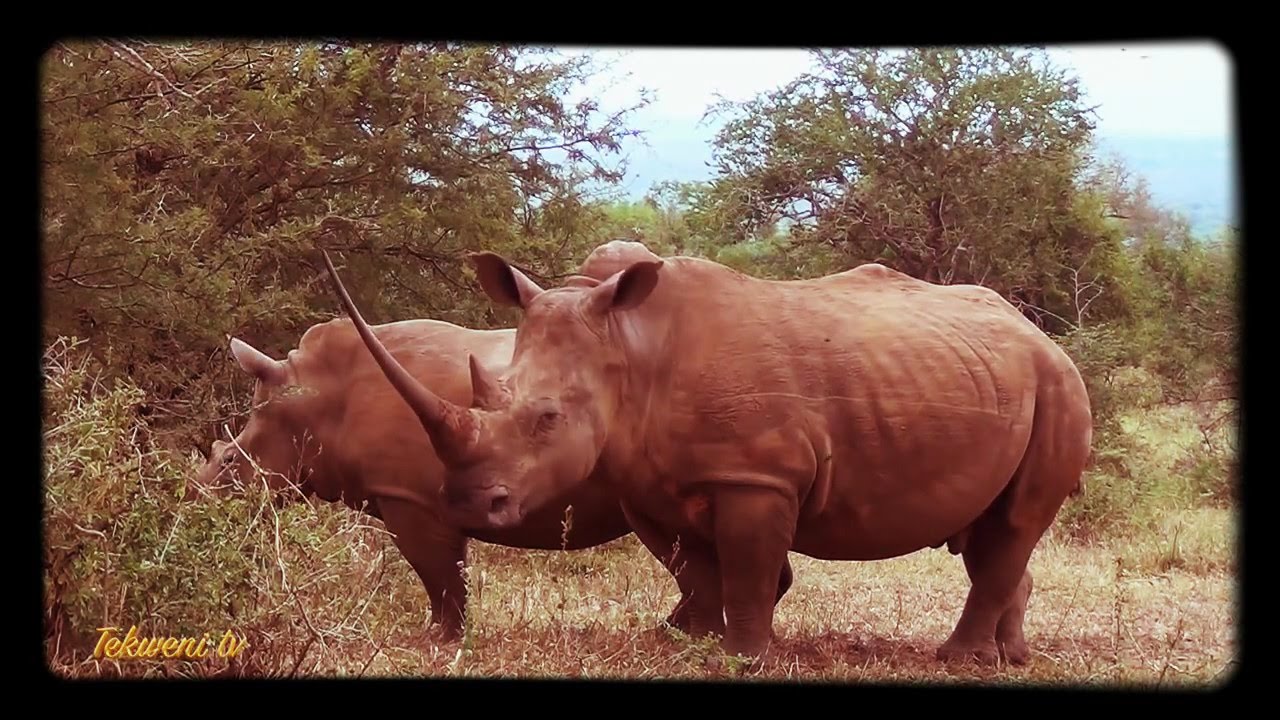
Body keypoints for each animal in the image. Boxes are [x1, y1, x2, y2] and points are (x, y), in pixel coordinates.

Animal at [189, 299, 795, 643]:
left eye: (231, 461)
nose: (198, 500)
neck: (315, 395)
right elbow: (444, 572)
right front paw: (443, 636)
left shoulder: (410, 495)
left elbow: (438, 573)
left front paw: (437, 638)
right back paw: (673, 634)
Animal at [322, 240, 1093, 668]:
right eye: (490, 390)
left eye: (547, 419)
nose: (466, 503)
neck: (628, 347)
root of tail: (1039, 334)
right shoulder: (646, 479)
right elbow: (693, 565)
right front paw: (684, 643)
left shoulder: (758, 476)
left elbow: (747, 567)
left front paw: (743, 657)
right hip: (995, 378)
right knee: (989, 533)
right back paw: (1008, 657)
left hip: (1059, 385)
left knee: (1016, 523)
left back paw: (960, 661)